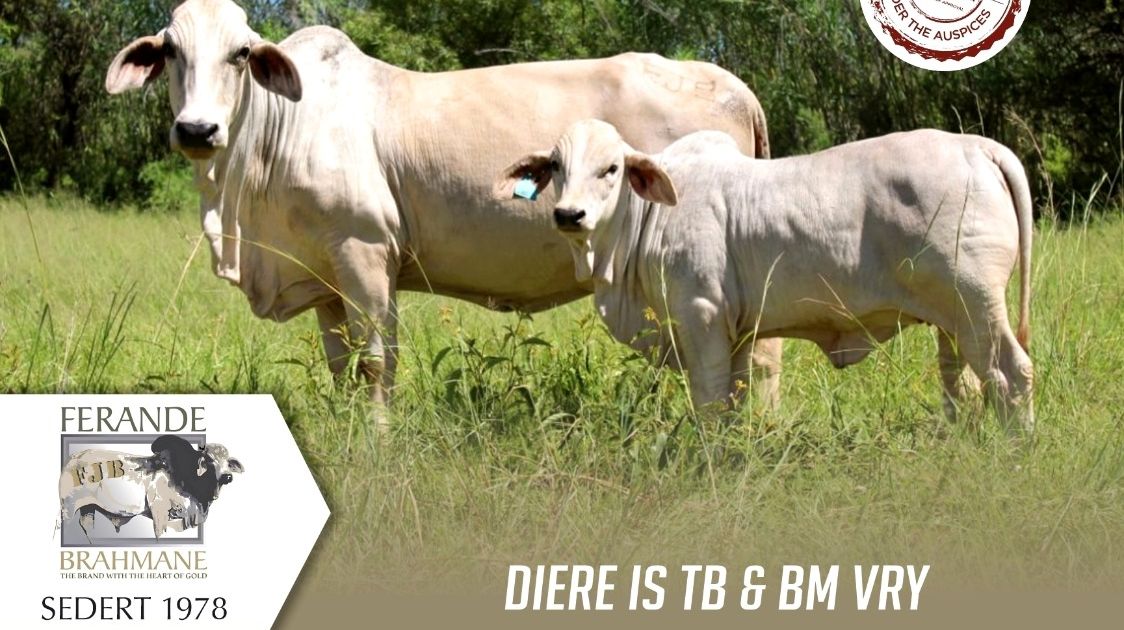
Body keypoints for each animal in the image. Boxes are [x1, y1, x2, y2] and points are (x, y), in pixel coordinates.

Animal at [59, 435, 244, 540]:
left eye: (228, 462)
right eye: (208, 461)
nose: (227, 477)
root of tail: (73, 457)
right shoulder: (159, 512)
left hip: (88, 508)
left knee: (86, 526)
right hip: (67, 509)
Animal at [104, 0, 782, 423]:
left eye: (241, 54)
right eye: (171, 52)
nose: (197, 129)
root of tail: (738, 89)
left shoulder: (365, 254)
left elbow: (376, 364)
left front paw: (375, 440)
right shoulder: (323, 276)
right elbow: (339, 366)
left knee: (762, 359)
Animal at [496, 121, 1034, 433]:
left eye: (611, 168)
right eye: (556, 166)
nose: (569, 215)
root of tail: (976, 147)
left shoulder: (701, 317)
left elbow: (711, 402)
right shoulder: (736, 334)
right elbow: (733, 400)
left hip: (977, 304)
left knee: (1013, 374)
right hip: (952, 319)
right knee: (963, 383)